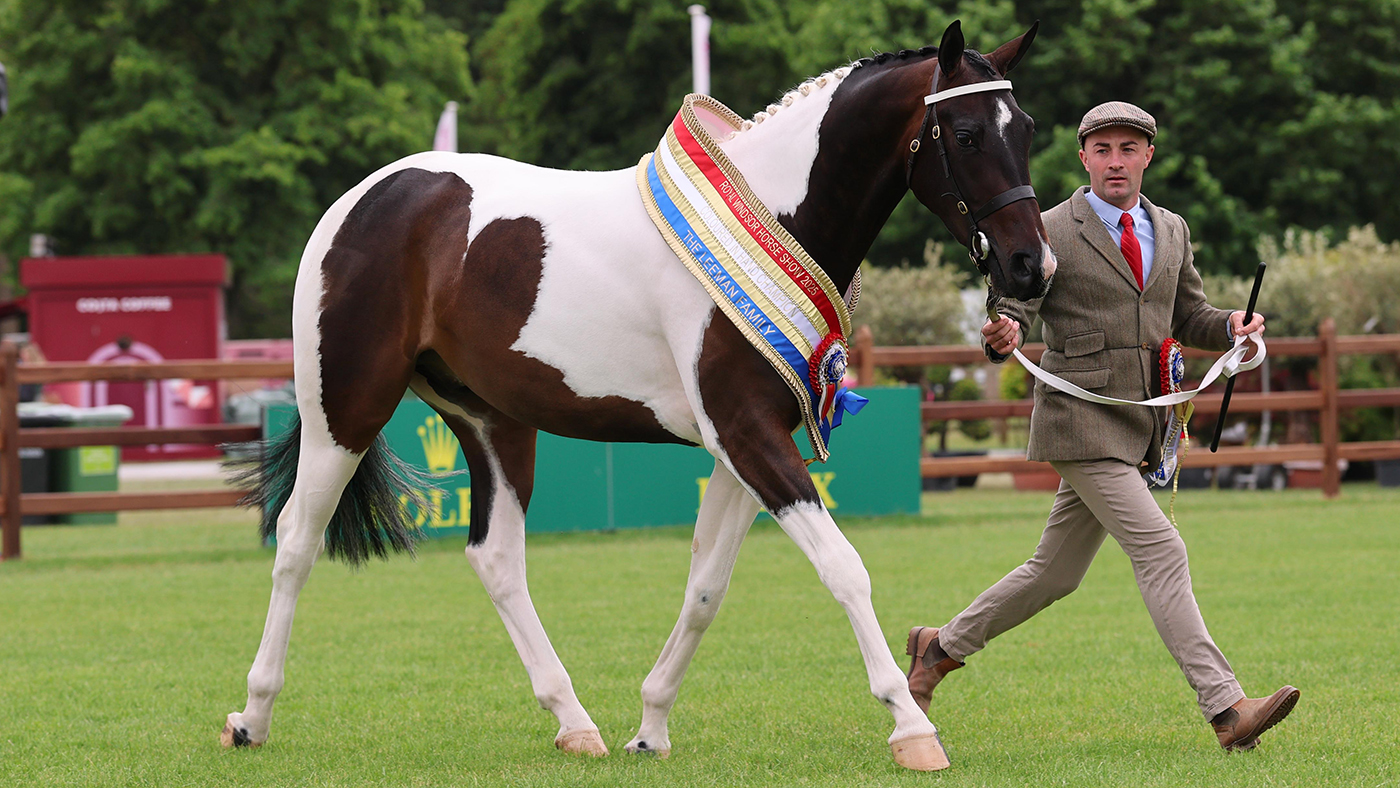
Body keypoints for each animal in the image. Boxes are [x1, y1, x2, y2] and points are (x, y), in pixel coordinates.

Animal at [223, 20, 1054, 772]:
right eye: (968, 134)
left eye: (1027, 128)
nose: (1030, 266)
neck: (772, 215)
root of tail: (366, 198)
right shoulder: (747, 434)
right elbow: (845, 569)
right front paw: (911, 726)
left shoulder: (744, 446)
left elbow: (707, 586)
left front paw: (650, 726)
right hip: (345, 409)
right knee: (296, 541)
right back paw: (252, 716)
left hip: (494, 423)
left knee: (496, 557)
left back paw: (574, 721)